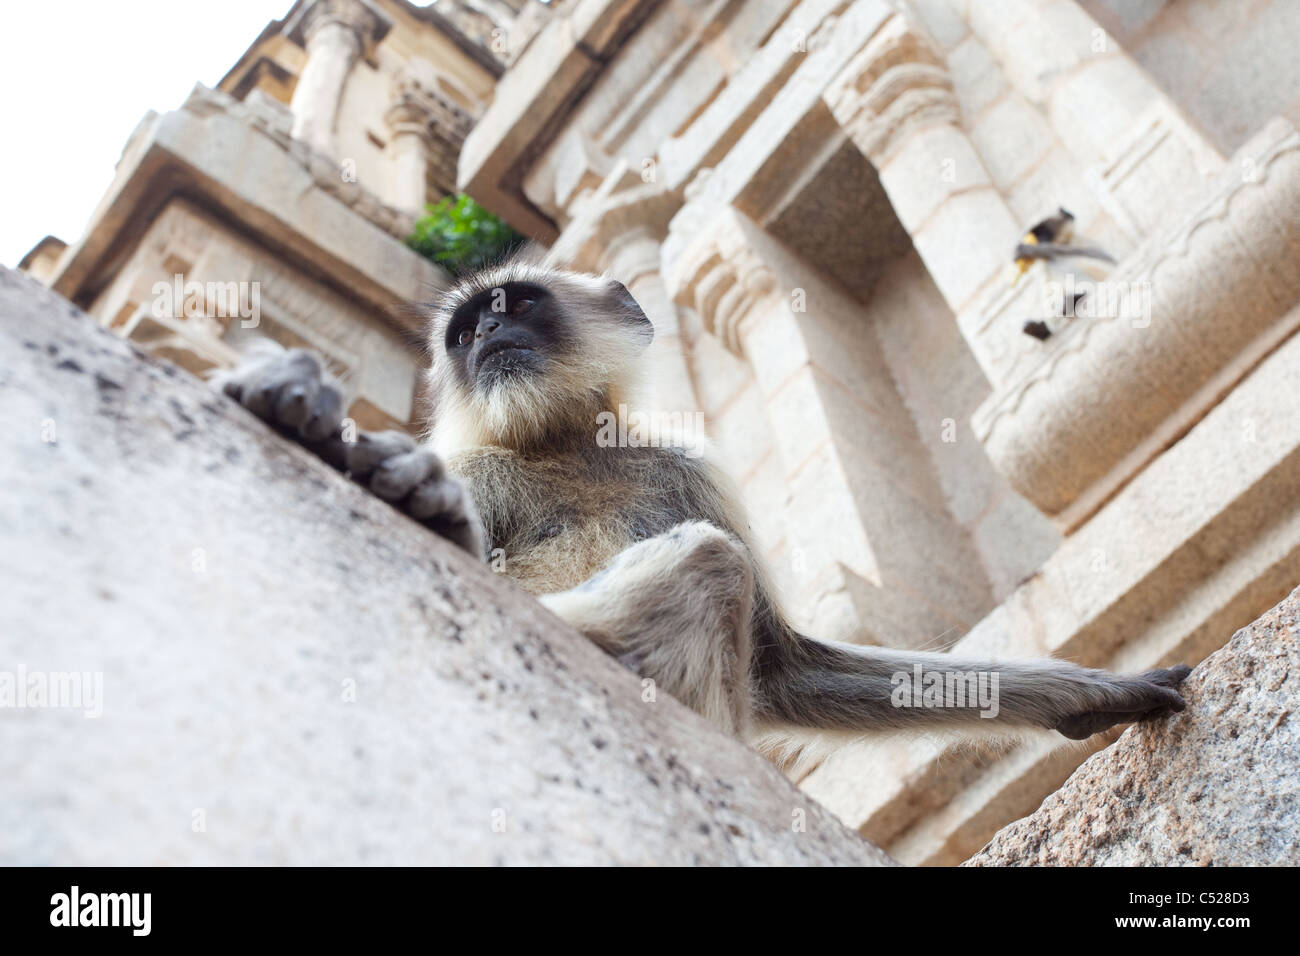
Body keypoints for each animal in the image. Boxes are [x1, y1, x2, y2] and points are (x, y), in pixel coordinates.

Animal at [215, 262, 1190, 749]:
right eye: (464, 331)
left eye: (513, 304)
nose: (487, 331)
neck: (562, 446)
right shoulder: (480, 464)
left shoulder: (686, 471)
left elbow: (785, 668)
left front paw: (1087, 691)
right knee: (706, 562)